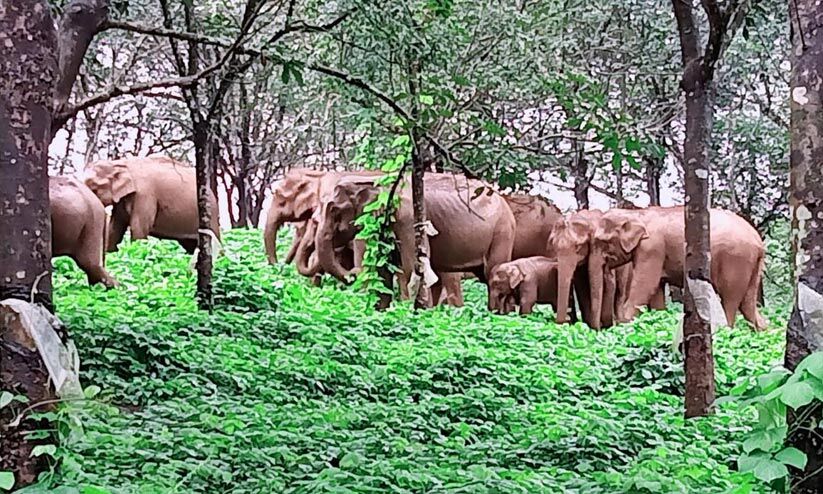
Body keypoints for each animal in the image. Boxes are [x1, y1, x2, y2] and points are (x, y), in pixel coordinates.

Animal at [82, 156, 219, 254]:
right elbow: (115, 228)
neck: (120, 163)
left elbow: (138, 228)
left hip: (211, 214)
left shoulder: (145, 195)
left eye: (94, 188)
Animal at [313, 173, 515, 307]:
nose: (352, 271)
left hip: (502, 232)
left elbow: (410, 267)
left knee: (492, 274)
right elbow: (382, 271)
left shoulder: (409, 220)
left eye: (334, 210)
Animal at [588, 206, 766, 330]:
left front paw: (624, 324)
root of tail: (758, 241)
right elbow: (656, 293)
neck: (637, 213)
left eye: (601, 241)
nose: (599, 330)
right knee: (748, 303)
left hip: (736, 260)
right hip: (752, 265)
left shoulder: (652, 249)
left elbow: (645, 287)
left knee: (730, 299)